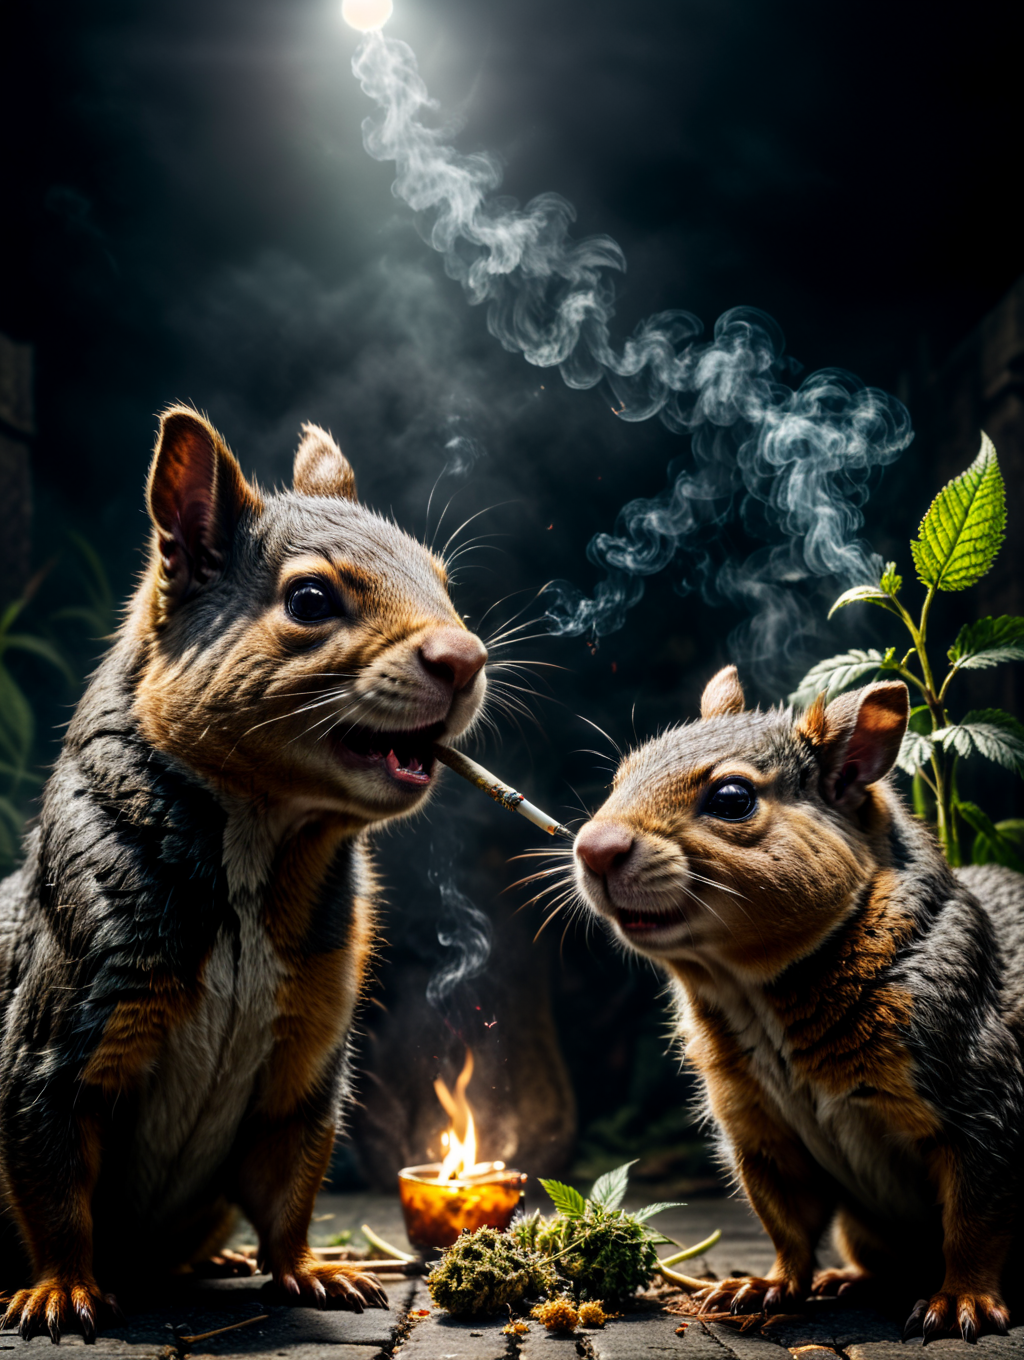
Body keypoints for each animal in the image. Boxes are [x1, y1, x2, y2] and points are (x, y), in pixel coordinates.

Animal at [0, 406, 488, 1342]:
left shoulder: (307, 1050)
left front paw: (310, 1268)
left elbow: (291, 1173)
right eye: (309, 600)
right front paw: (62, 1289)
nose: (468, 657)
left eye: (448, 584)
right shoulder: (63, 1023)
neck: (269, 841)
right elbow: (52, 1174)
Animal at [574, 664, 1024, 1344]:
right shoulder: (759, 1126)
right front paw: (768, 1285)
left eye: (732, 798)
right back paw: (849, 1279)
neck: (753, 995)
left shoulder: (976, 1090)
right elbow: (786, 1221)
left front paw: (960, 1300)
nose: (593, 847)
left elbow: (975, 1216)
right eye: (621, 775)